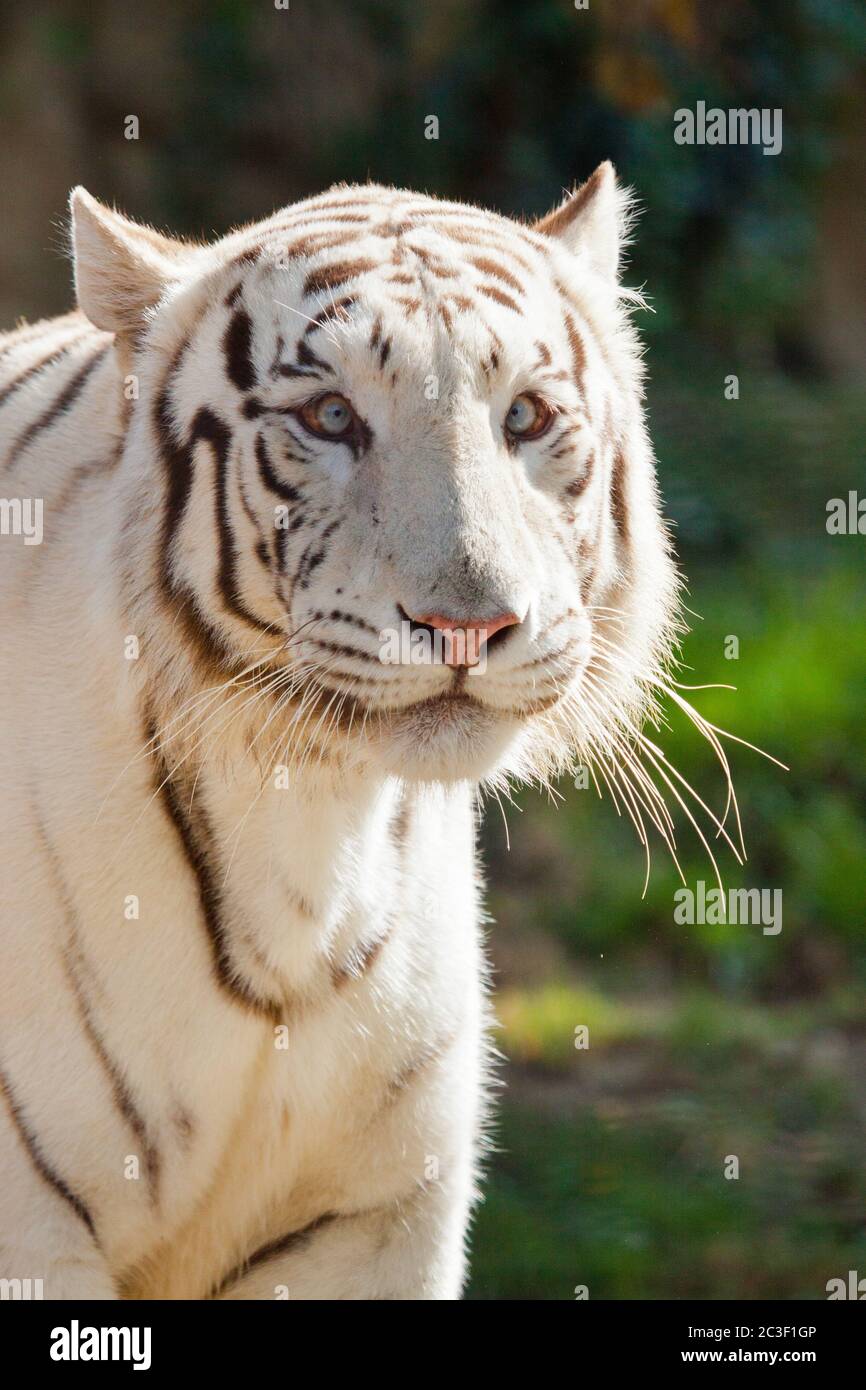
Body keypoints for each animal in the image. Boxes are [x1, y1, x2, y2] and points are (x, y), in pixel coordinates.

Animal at [0, 164, 679, 1300]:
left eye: (526, 416)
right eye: (329, 415)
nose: (469, 623)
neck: (302, 819)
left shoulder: (368, 1222)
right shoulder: (33, 1232)